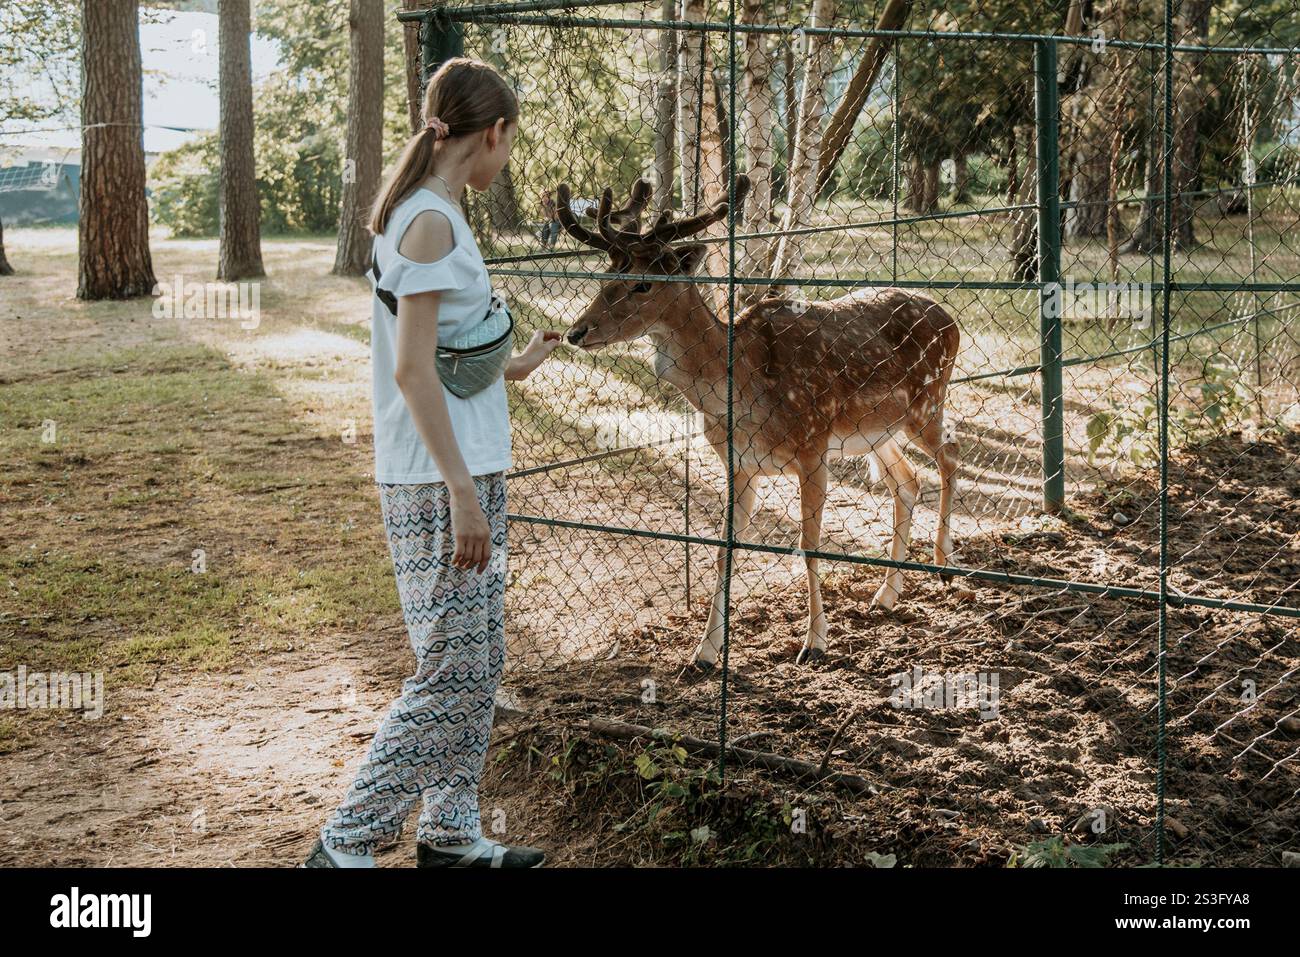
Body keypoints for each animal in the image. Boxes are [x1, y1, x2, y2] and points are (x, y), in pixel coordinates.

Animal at [555, 173, 960, 669]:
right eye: (603, 277)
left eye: (644, 285)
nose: (577, 332)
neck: (740, 391)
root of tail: (951, 316)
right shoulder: (739, 463)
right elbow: (724, 552)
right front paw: (705, 652)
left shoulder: (812, 445)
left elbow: (808, 545)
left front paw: (814, 641)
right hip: (874, 431)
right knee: (906, 481)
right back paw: (885, 594)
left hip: (927, 402)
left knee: (950, 455)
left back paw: (943, 565)